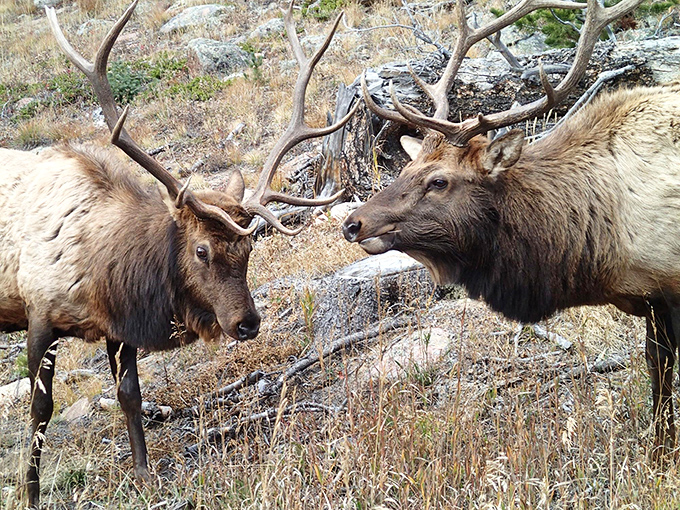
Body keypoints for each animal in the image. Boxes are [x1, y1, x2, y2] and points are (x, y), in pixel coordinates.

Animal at [2, 1, 358, 506]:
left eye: (250, 245)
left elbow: (130, 394)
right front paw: (29, 492)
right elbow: (39, 409)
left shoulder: (121, 326)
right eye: (201, 249)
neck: (98, 270)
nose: (247, 323)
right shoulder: (39, 314)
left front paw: (144, 473)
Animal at [340, 0, 680, 457]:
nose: (353, 223)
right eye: (407, 169)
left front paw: (663, 450)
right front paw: (660, 444)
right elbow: (657, 369)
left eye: (439, 181)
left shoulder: (668, 288)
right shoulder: (652, 298)